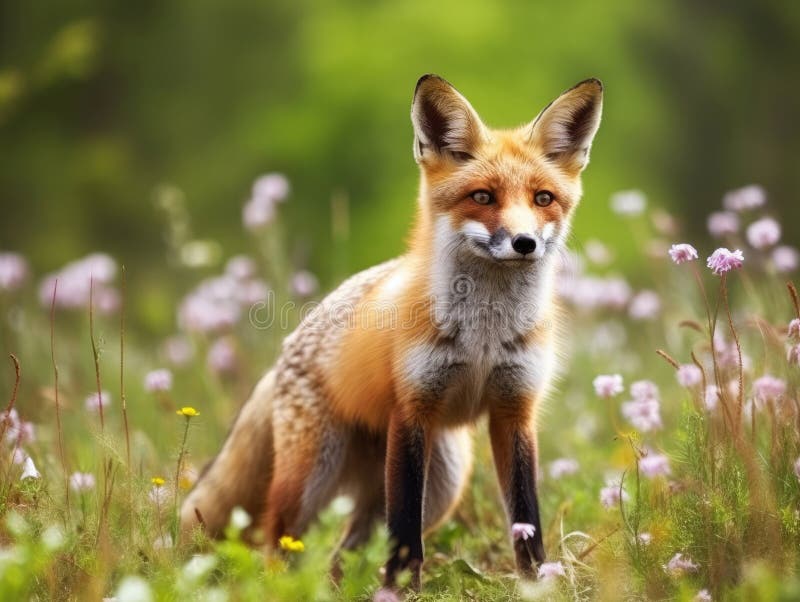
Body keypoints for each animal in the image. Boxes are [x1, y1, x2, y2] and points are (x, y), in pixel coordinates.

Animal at [180, 74, 603, 590]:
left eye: (543, 199)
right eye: (483, 197)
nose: (525, 243)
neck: (483, 336)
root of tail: (284, 352)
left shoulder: (515, 409)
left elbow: (527, 517)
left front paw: (536, 583)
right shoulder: (412, 410)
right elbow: (405, 529)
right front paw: (403, 590)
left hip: (441, 482)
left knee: (342, 551)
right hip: (313, 475)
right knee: (278, 540)